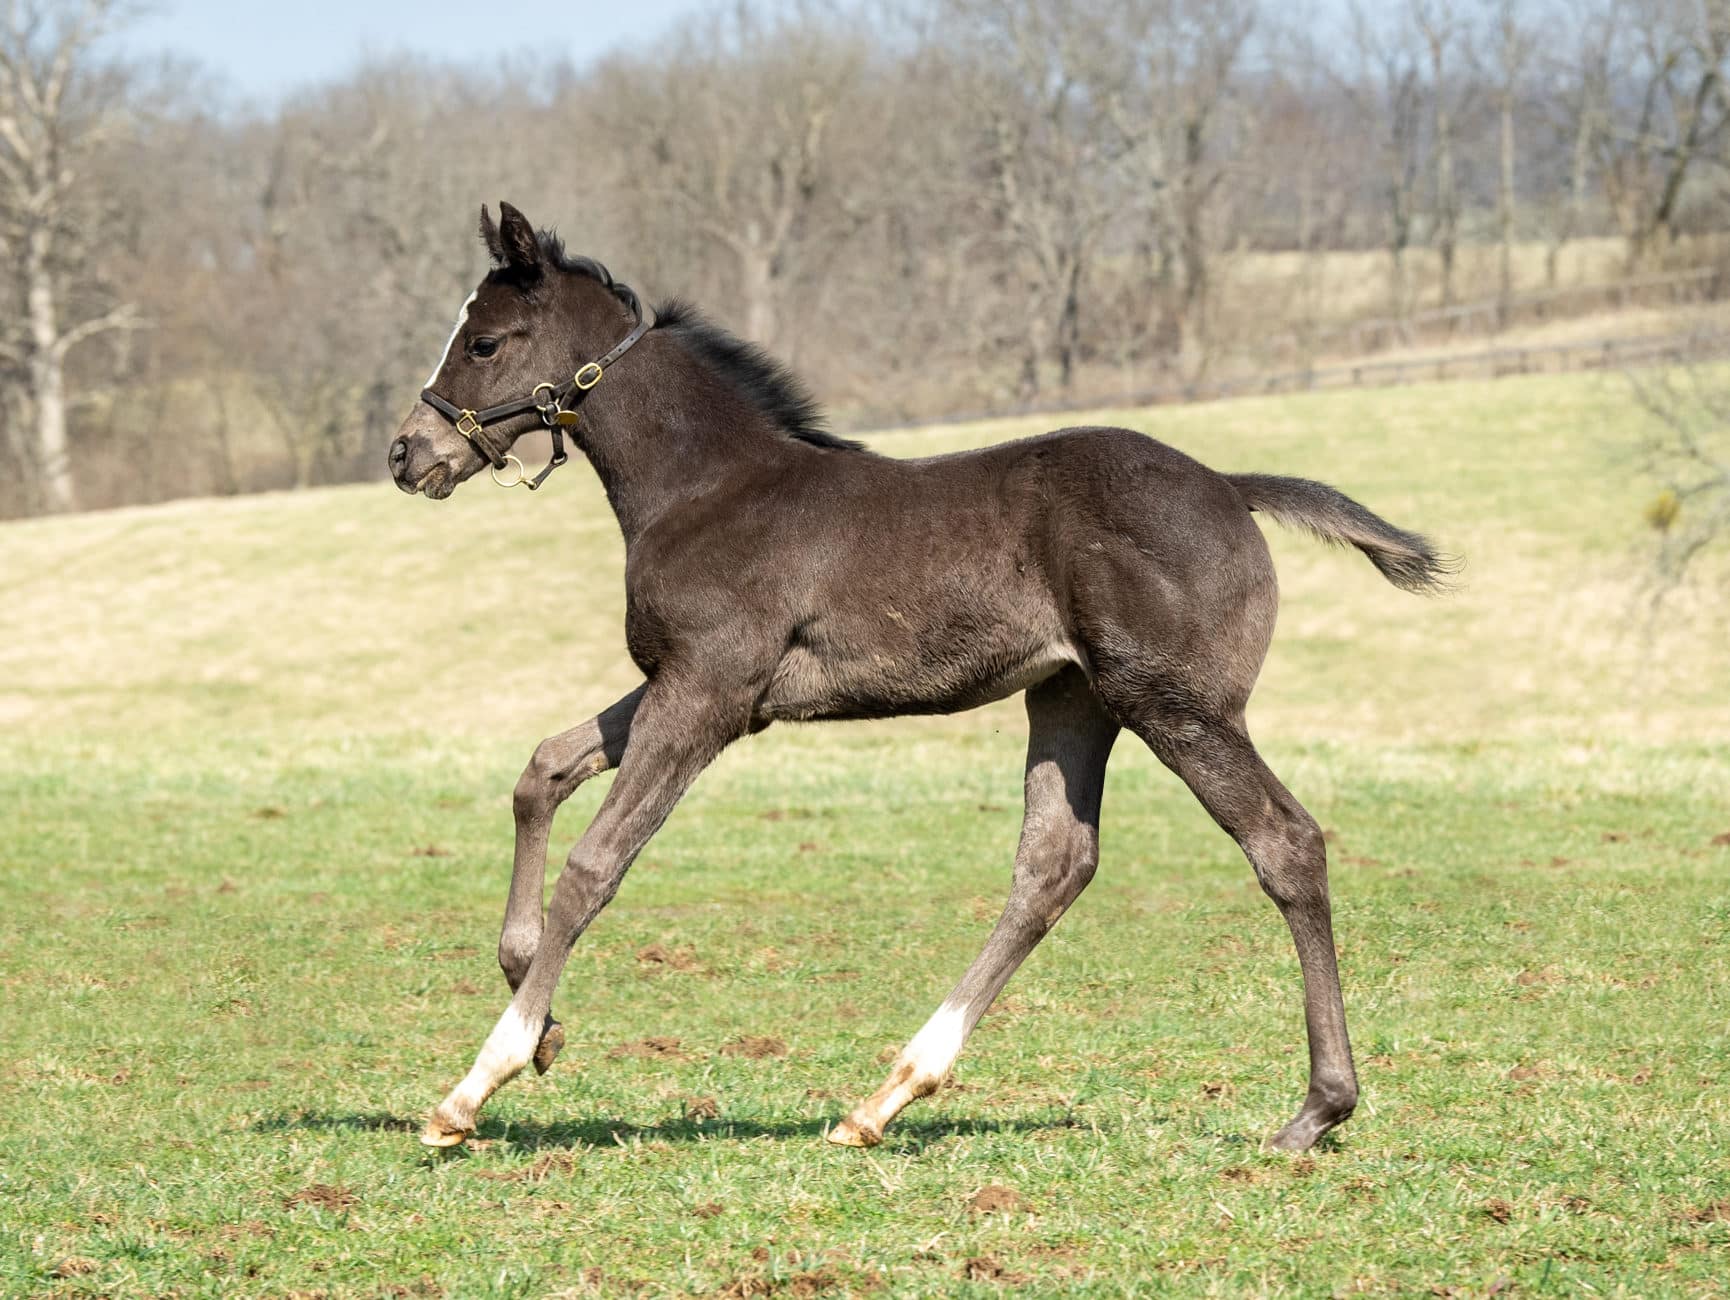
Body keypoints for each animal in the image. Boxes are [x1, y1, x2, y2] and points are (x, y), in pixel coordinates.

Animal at [388, 201, 1450, 1153]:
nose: (407, 454)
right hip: (1074, 698)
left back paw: (1317, 1110)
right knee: (1054, 865)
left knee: (1285, 843)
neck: (706, 486)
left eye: (483, 342)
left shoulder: (707, 695)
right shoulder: (693, 685)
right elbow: (543, 771)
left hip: (1177, 705)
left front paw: (476, 1084)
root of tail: (1232, 487)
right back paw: (885, 1099)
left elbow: (596, 865)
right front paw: (541, 1015)